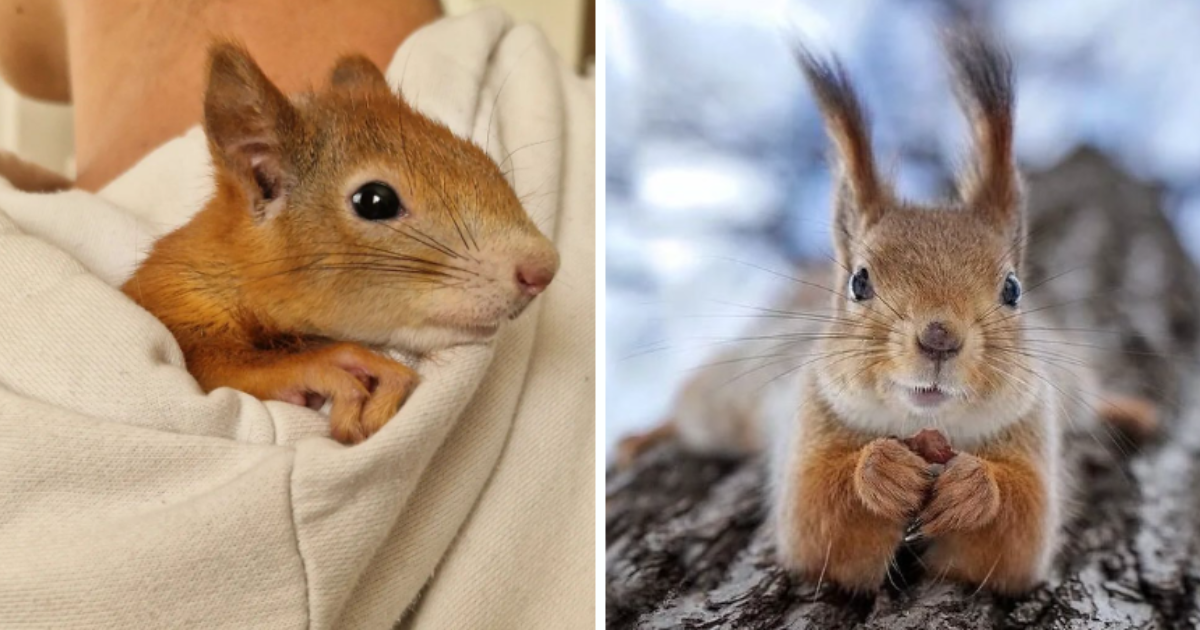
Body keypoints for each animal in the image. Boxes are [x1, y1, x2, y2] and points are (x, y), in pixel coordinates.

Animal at [115, 42, 559, 444]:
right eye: (375, 200)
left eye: (482, 157)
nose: (544, 269)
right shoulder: (171, 296)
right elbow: (209, 364)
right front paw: (326, 363)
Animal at [618, 32, 1157, 595]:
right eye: (859, 281)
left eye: (1013, 288)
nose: (939, 338)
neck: (925, 423)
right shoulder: (809, 420)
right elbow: (815, 517)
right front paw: (879, 472)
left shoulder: (1033, 427)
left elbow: (1018, 531)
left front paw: (974, 487)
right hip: (730, 394)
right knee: (693, 408)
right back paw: (647, 434)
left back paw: (1126, 410)